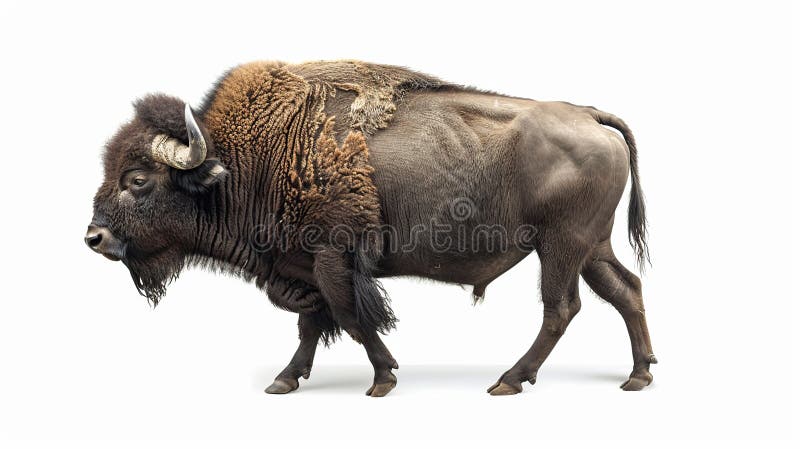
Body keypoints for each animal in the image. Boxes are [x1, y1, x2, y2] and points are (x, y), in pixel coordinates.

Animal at [85, 60, 656, 396]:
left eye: (137, 179)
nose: (95, 238)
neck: (259, 157)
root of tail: (590, 116)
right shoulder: (301, 266)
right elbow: (311, 322)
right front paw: (284, 381)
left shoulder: (332, 257)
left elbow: (350, 316)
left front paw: (383, 377)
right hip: (592, 248)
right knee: (625, 290)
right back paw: (639, 374)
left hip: (559, 247)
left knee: (561, 308)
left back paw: (510, 381)